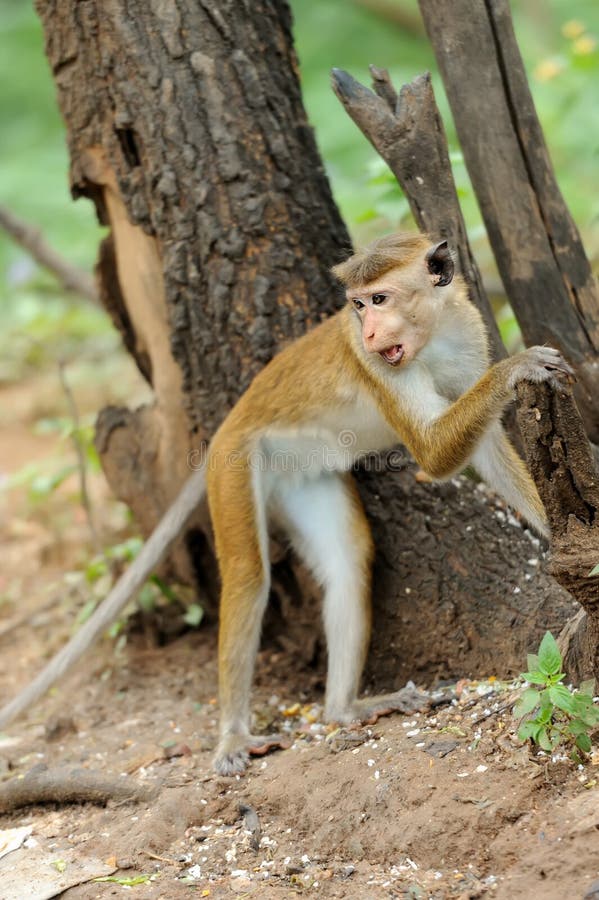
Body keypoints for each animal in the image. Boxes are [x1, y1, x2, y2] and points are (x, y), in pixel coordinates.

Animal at [0, 232, 574, 775]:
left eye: (380, 298)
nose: (369, 332)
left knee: (347, 563)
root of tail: (231, 420)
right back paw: (234, 734)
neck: (432, 336)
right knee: (248, 576)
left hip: (300, 479)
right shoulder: (375, 368)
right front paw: (519, 367)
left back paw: (344, 709)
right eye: (358, 305)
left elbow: (488, 448)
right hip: (235, 465)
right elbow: (434, 453)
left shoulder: (469, 331)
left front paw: (556, 533)